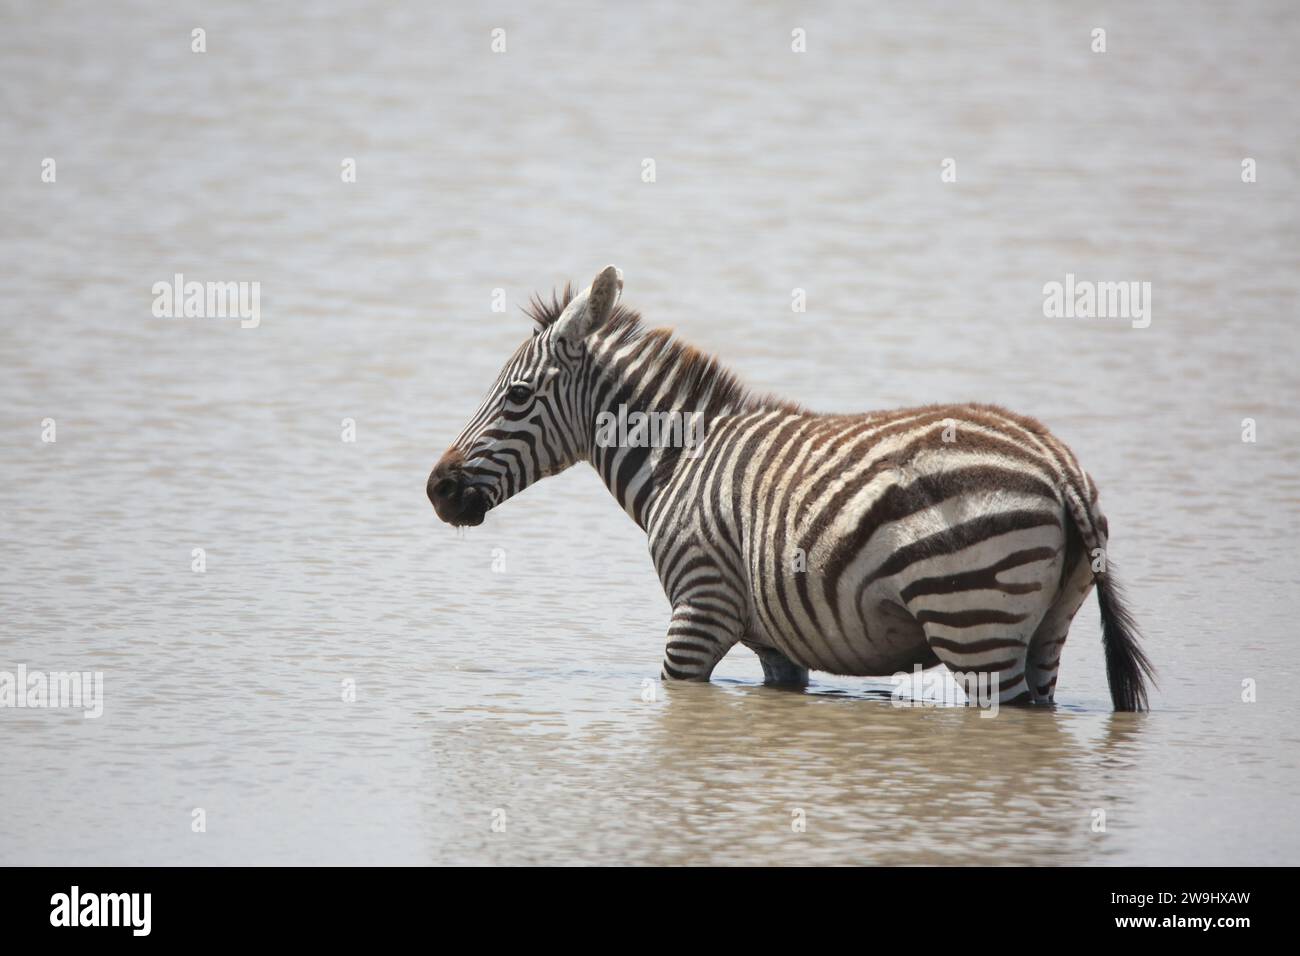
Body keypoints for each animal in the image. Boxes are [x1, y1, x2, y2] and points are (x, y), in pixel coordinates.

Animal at [427, 266, 1155, 710]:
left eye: (518, 396)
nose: (438, 488)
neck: (678, 461)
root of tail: (1059, 467)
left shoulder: (699, 607)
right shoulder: (776, 641)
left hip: (974, 617)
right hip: (1046, 627)